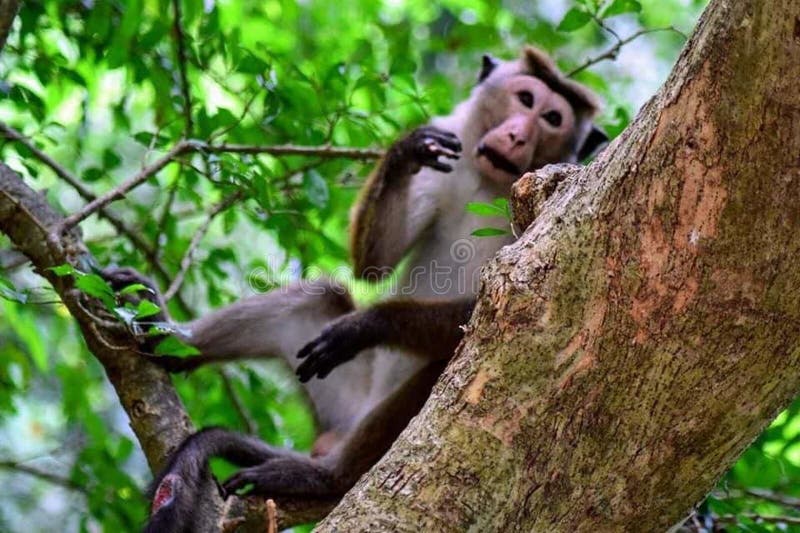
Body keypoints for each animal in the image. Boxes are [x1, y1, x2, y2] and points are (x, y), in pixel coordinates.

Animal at [108, 46, 607, 532]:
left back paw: (325, 476)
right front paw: (405, 152)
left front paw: (365, 326)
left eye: (552, 118)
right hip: (341, 397)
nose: (519, 136)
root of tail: (341, 435)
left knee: (448, 359)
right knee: (313, 298)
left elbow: (512, 298)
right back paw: (169, 339)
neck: (492, 180)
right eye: (525, 99)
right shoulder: (453, 144)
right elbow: (373, 266)